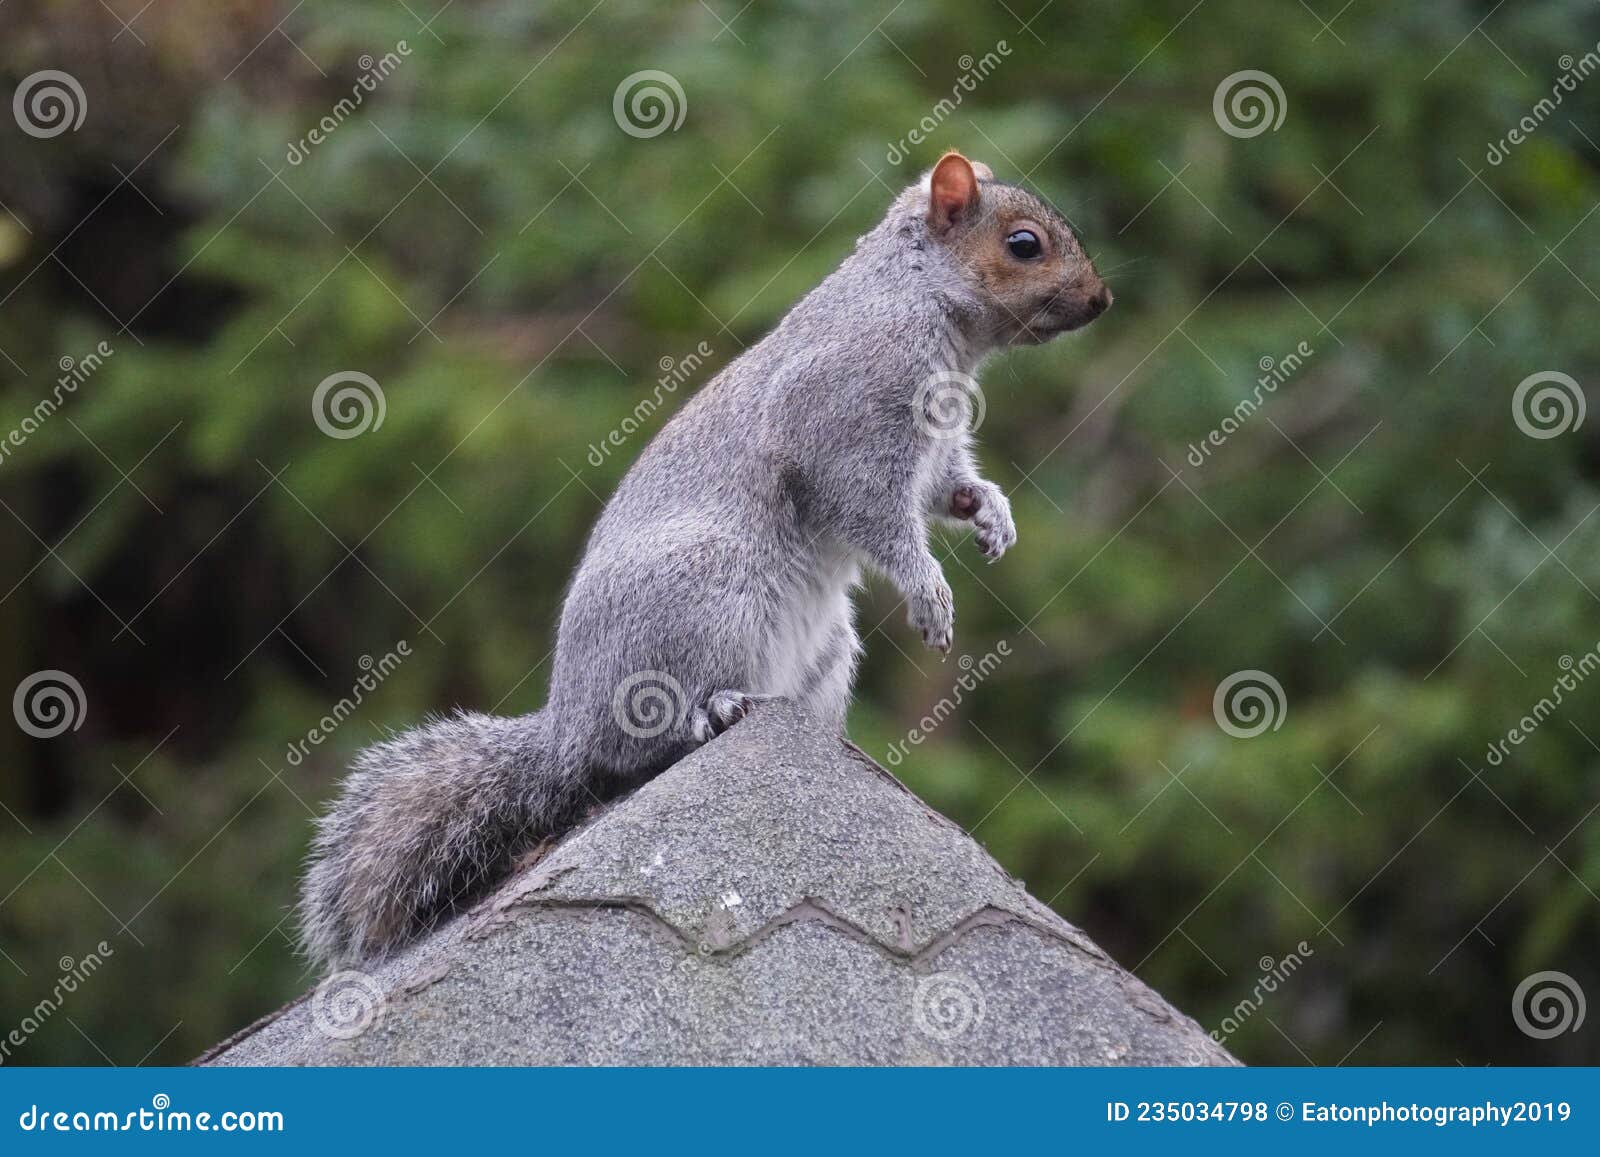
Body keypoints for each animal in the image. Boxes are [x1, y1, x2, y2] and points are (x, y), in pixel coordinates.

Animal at [298, 151, 1112, 969]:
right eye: (1025, 244)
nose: (1102, 299)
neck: (918, 298)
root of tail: (565, 726)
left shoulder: (935, 446)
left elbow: (949, 487)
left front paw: (993, 516)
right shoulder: (847, 423)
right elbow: (872, 513)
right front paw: (930, 593)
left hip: (822, 650)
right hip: (706, 600)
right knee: (633, 748)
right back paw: (709, 711)